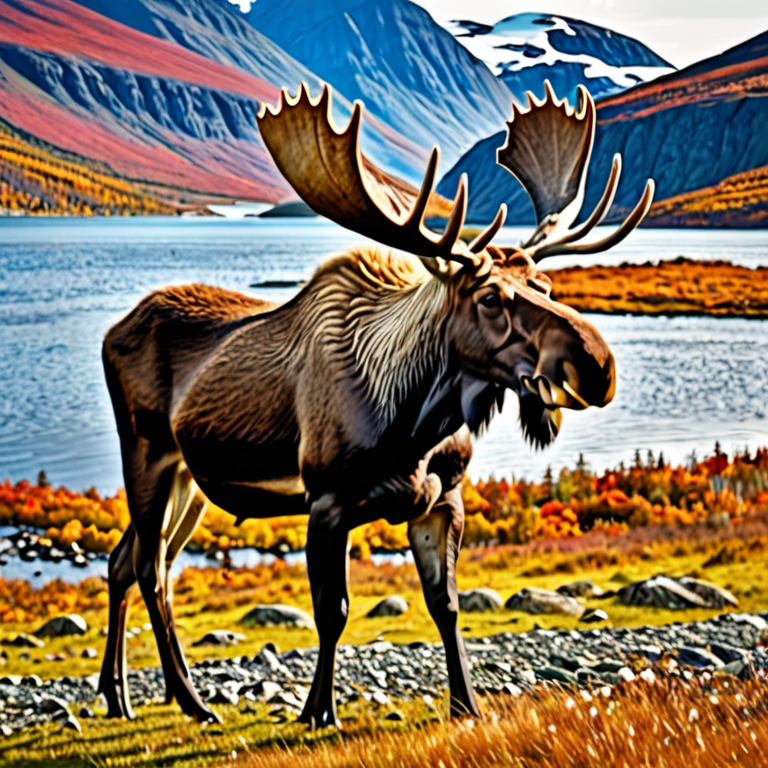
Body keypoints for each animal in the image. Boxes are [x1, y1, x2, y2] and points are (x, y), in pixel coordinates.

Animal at [97, 81, 653, 729]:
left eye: (545, 287)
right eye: (491, 296)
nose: (597, 364)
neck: (416, 424)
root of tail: (112, 331)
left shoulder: (443, 499)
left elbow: (447, 604)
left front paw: (465, 703)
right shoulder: (327, 502)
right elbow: (332, 610)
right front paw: (318, 712)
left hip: (191, 480)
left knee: (127, 561)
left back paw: (119, 695)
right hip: (146, 452)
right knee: (150, 569)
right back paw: (191, 701)